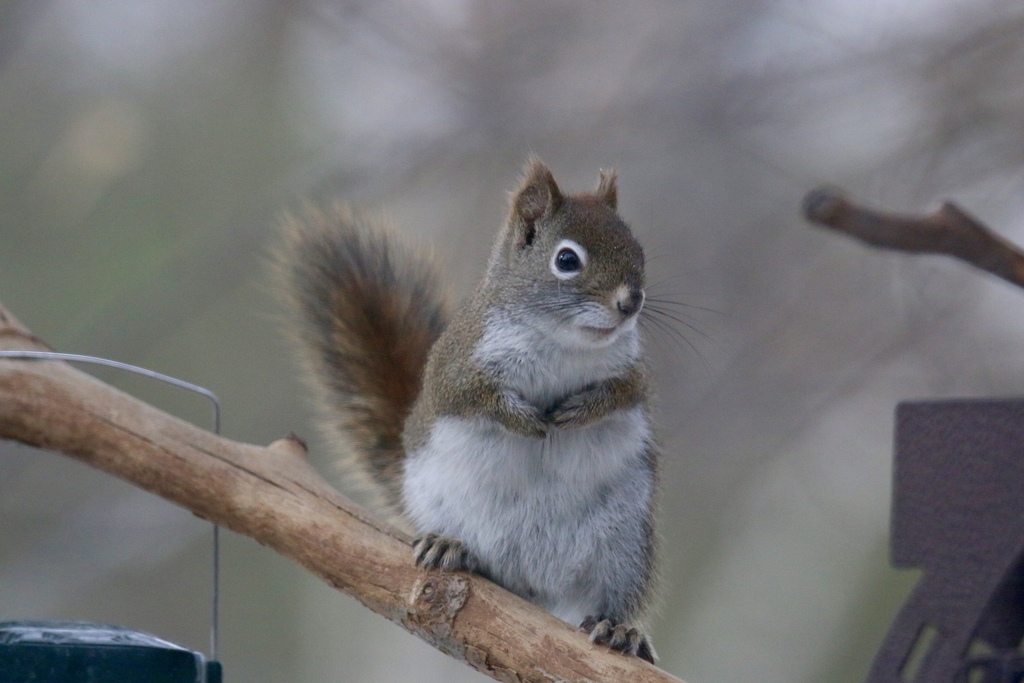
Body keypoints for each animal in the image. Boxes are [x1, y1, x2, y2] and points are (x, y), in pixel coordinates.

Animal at [276, 158, 659, 663]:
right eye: (567, 260)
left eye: (638, 248)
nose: (630, 302)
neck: (563, 341)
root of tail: (531, 586)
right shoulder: (456, 368)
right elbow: (476, 398)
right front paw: (523, 418)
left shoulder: (634, 373)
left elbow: (626, 393)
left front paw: (583, 408)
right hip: (441, 498)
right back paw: (449, 545)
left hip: (624, 543)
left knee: (612, 596)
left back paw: (620, 630)